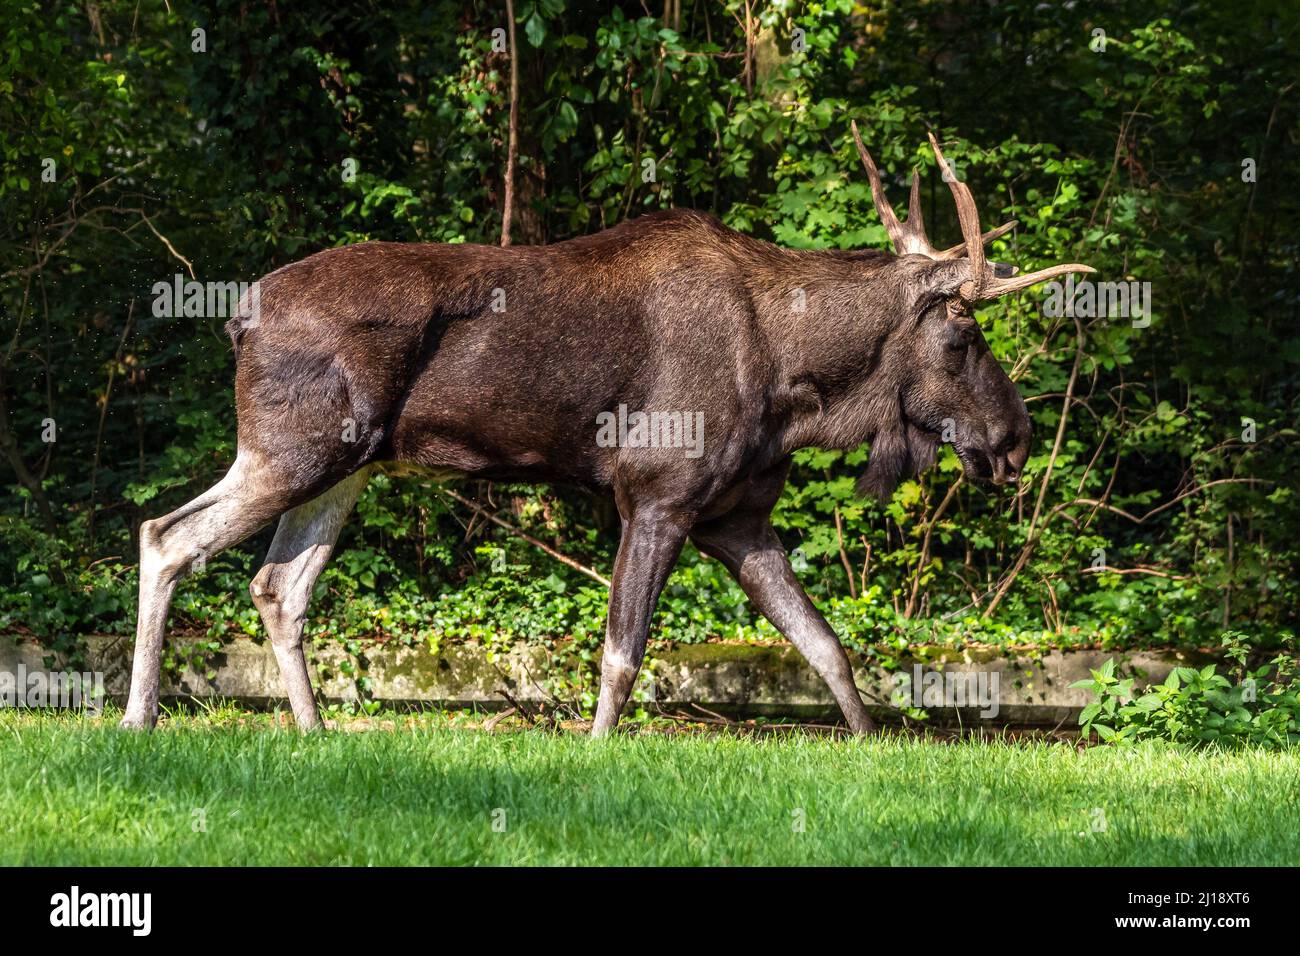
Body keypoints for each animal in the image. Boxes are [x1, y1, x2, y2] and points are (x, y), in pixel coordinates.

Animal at [119, 125, 1093, 735]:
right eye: (964, 334)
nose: (1014, 439)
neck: (799, 390)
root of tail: (236, 318)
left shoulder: (736, 517)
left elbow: (827, 649)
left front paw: (873, 745)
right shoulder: (657, 495)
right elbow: (623, 655)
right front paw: (594, 751)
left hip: (347, 464)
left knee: (278, 586)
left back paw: (316, 729)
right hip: (293, 449)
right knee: (166, 536)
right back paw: (139, 716)